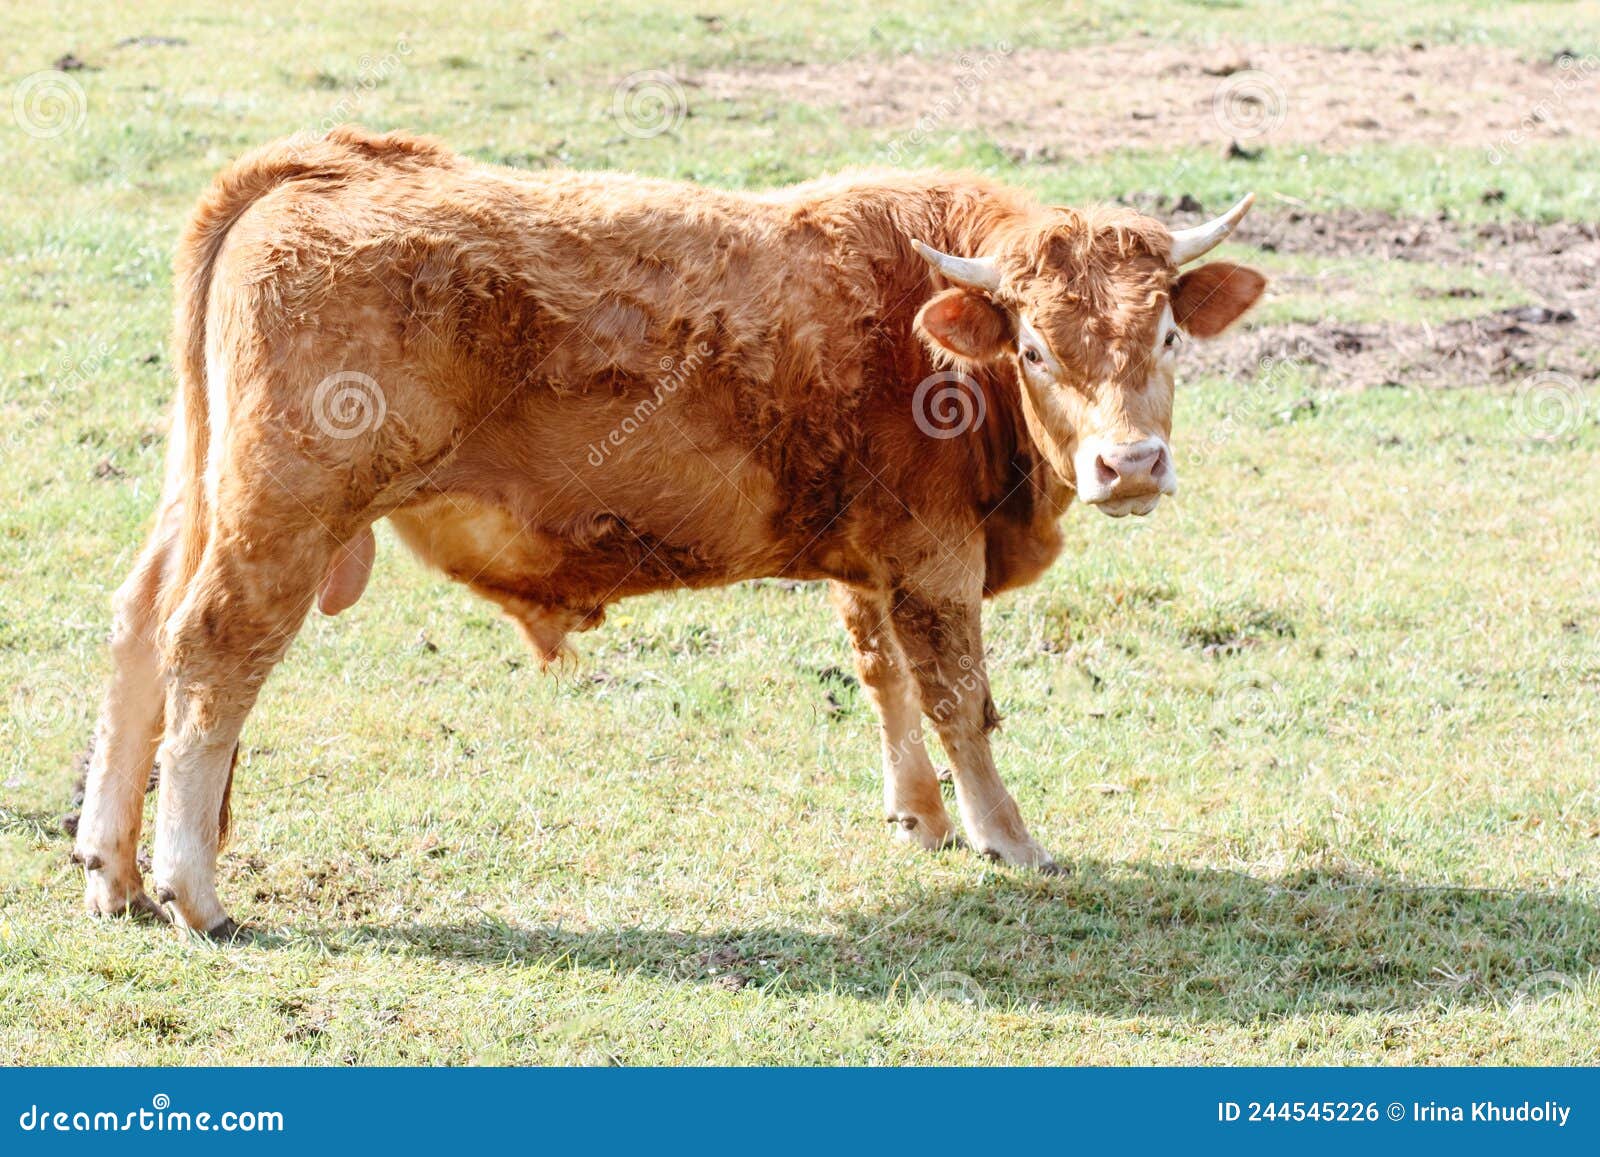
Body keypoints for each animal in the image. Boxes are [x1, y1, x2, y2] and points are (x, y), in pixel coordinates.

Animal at [72, 127, 1265, 937]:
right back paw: (192, 888)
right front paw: (1007, 837)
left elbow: (885, 677)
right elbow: (960, 698)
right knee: (212, 650)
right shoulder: (936, 555)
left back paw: (112, 867)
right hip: (284, 512)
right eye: (1034, 349)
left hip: (204, 488)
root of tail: (326, 165)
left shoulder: (875, 558)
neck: (921, 331)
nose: (1130, 465)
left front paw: (918, 816)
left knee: (137, 624)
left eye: (1165, 333)